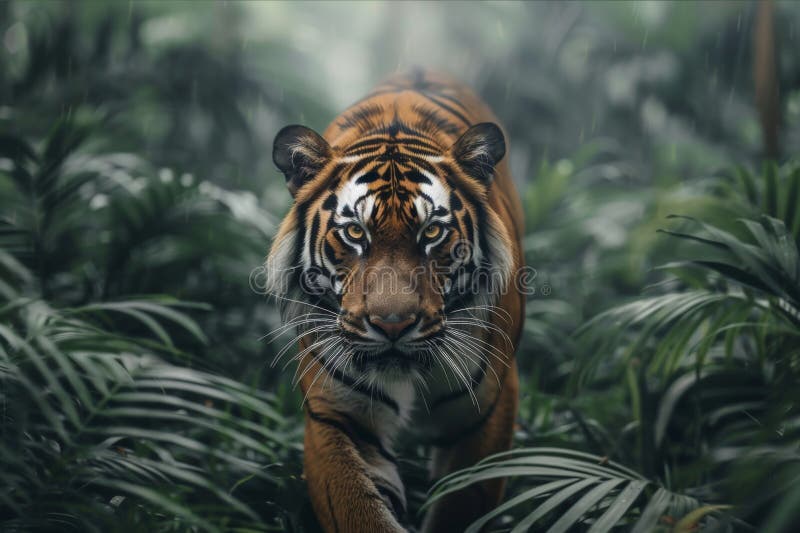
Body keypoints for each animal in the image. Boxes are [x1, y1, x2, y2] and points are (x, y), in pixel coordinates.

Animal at [265, 70, 525, 533]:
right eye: (355, 233)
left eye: (432, 233)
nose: (392, 324)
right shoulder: (338, 414)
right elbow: (361, 509)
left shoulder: (488, 409)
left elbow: (458, 508)